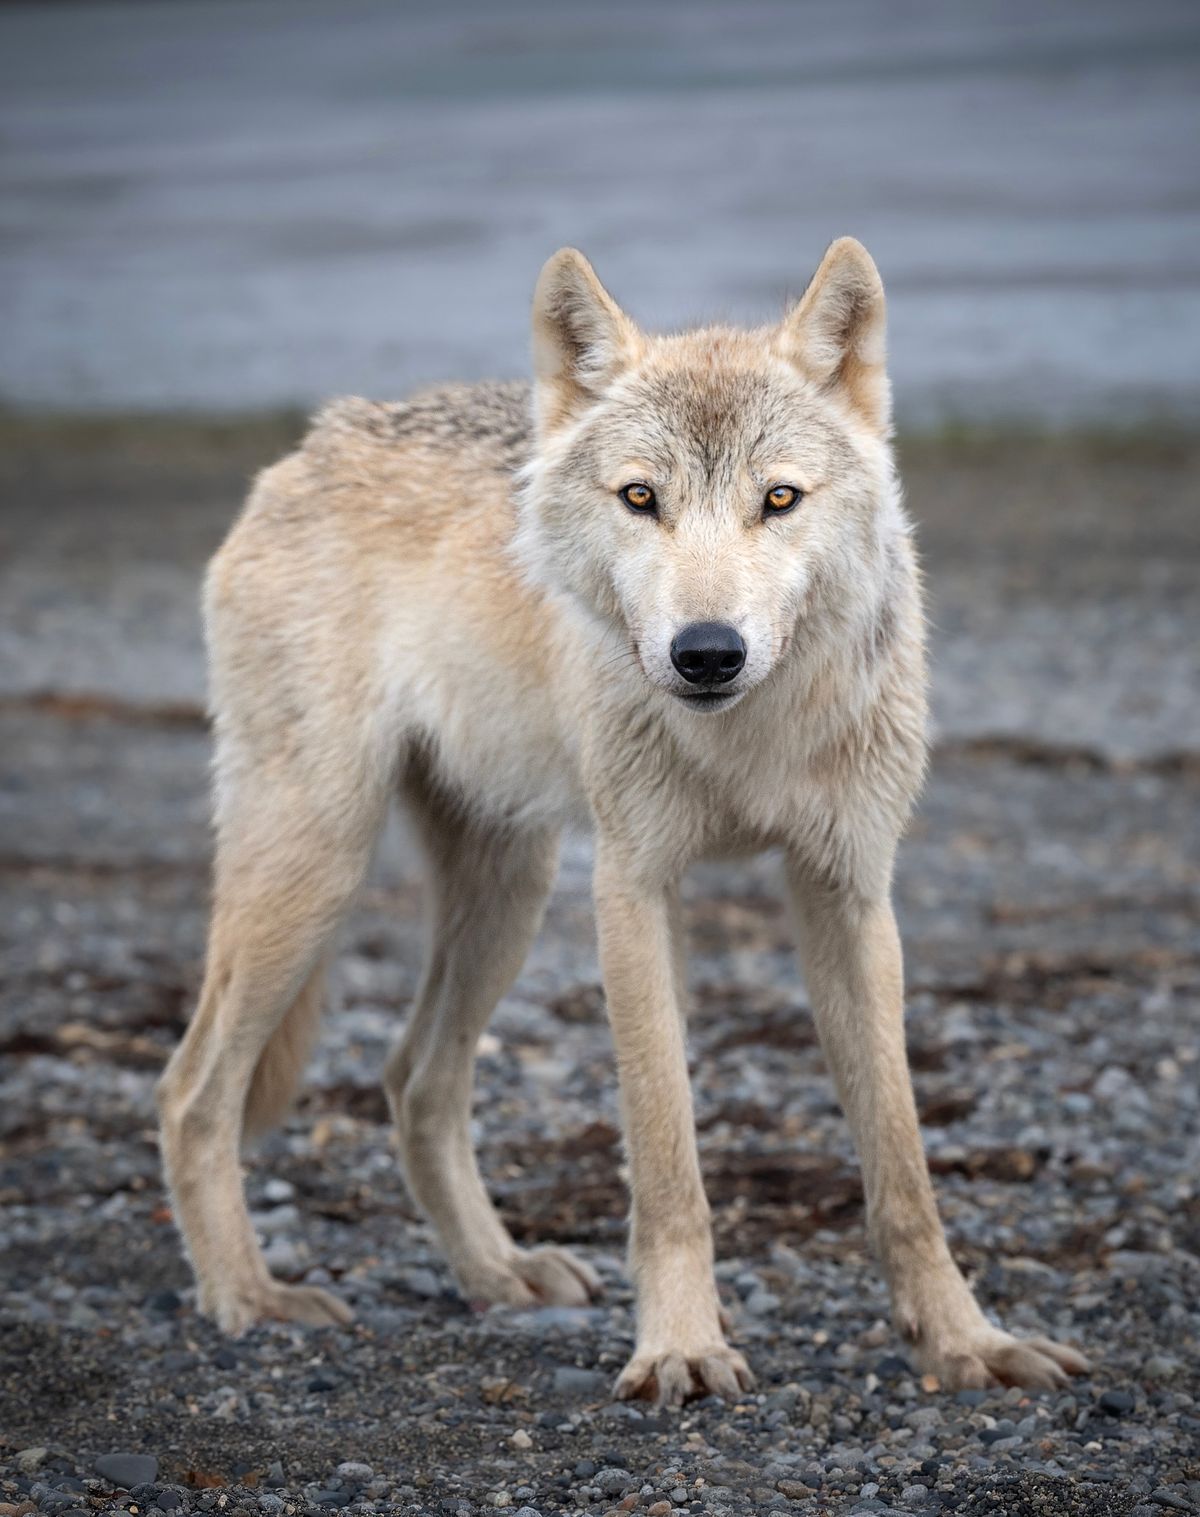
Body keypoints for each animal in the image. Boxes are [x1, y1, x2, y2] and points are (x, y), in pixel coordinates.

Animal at [157, 239, 1090, 1405]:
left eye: (778, 498)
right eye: (641, 497)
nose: (707, 651)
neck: (747, 736)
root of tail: (311, 443)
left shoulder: (849, 892)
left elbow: (903, 1166)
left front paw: (963, 1340)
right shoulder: (634, 887)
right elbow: (666, 1157)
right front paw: (681, 1347)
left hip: (507, 896)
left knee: (414, 1080)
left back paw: (498, 1273)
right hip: (320, 866)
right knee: (193, 1092)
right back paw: (249, 1295)